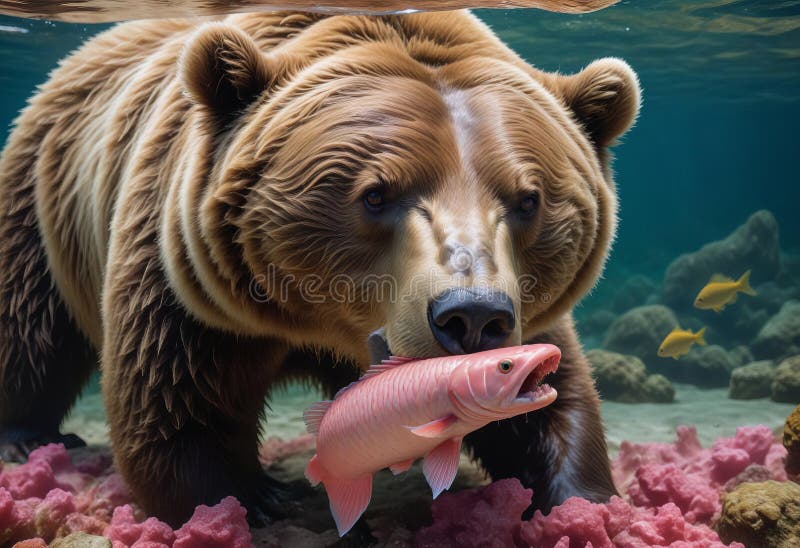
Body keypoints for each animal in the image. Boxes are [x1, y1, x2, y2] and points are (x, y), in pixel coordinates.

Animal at [0, 10, 640, 528]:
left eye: (528, 199)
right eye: (376, 194)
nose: (472, 317)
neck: (321, 321)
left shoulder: (526, 306)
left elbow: (552, 404)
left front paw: (582, 500)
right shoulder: (186, 281)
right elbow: (174, 400)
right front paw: (250, 499)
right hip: (41, 194)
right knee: (29, 323)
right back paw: (29, 436)